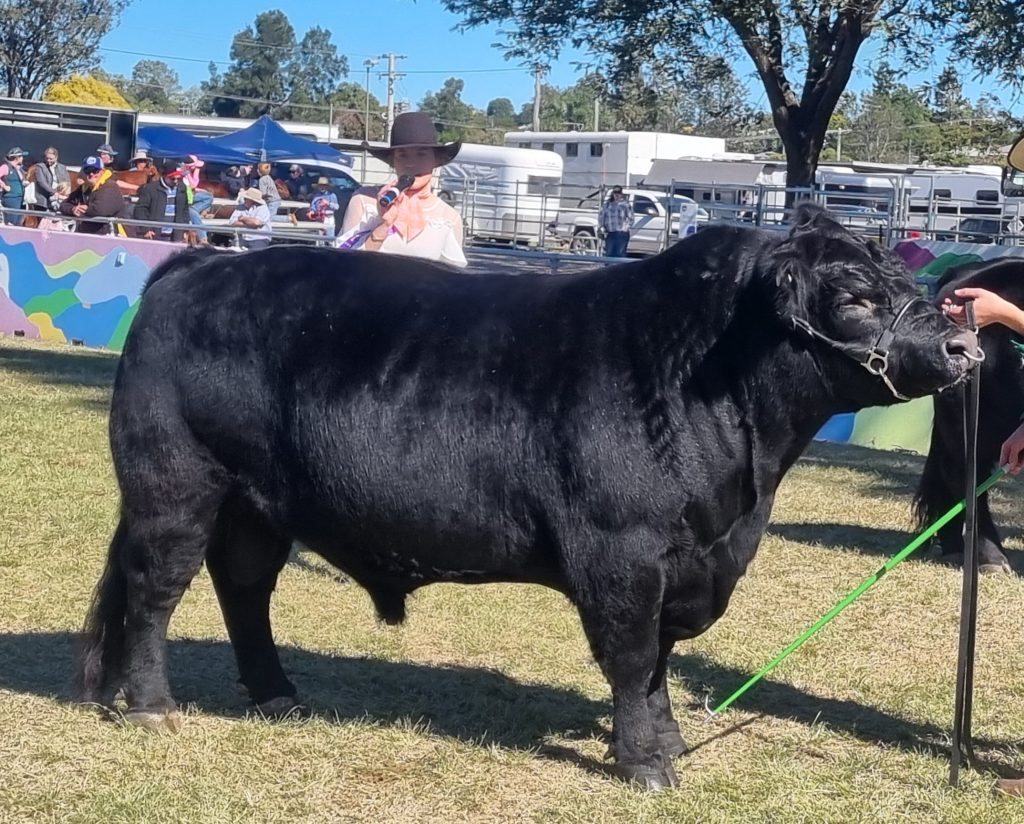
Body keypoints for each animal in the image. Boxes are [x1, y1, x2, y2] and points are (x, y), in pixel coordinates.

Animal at [76, 206, 977, 791]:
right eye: (854, 299)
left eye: (903, 278)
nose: (963, 345)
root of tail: (202, 265)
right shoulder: (622, 554)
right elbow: (633, 656)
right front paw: (646, 763)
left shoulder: (687, 561)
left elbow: (662, 659)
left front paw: (669, 742)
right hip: (175, 487)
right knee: (158, 591)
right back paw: (153, 708)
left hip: (261, 504)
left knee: (244, 589)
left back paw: (276, 695)